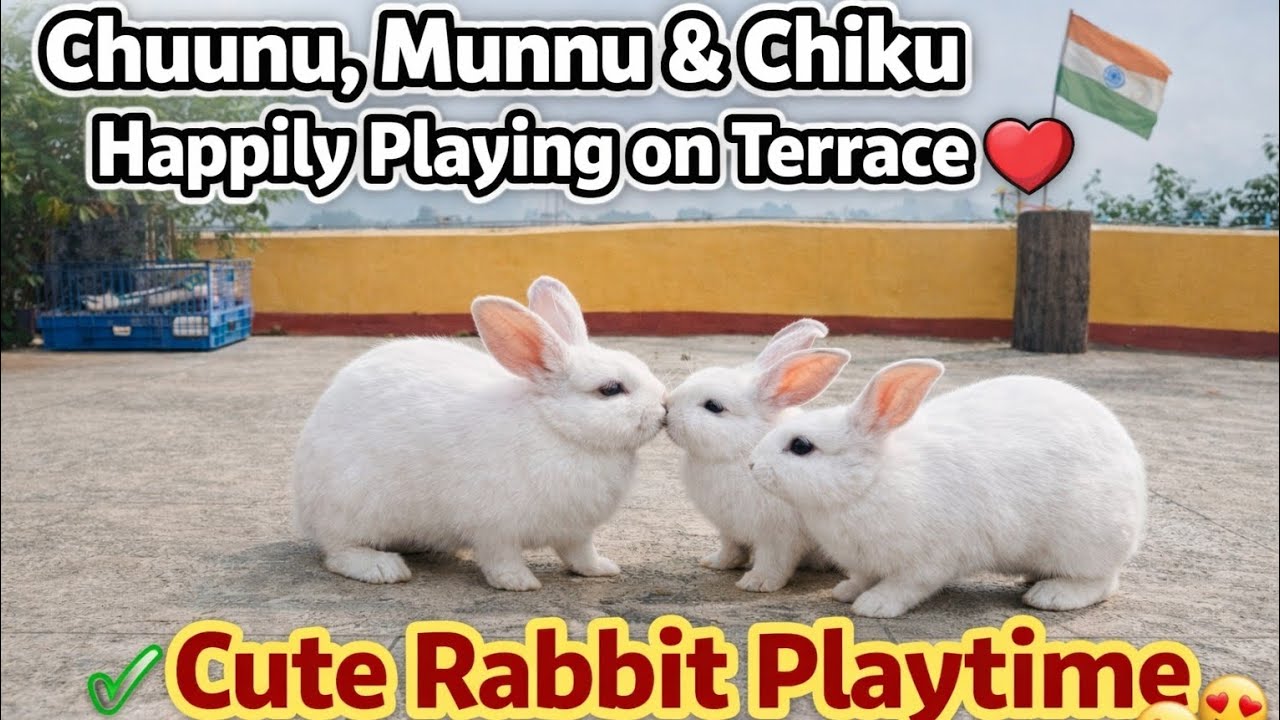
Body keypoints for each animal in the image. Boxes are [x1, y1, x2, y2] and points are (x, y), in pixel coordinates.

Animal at [292, 276, 668, 590]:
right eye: (611, 389)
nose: (664, 407)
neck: (559, 429)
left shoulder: (576, 531)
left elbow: (580, 554)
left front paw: (602, 569)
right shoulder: (495, 528)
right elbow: (500, 558)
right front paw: (519, 583)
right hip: (349, 508)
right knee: (337, 550)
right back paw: (382, 568)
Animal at [665, 319, 851, 592]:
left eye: (714, 406)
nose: (666, 408)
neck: (740, 452)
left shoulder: (779, 535)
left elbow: (773, 560)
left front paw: (756, 583)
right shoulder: (728, 528)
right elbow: (732, 548)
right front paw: (716, 563)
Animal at [749, 359, 1147, 618]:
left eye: (801, 446)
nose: (752, 465)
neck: (871, 482)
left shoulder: (930, 560)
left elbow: (907, 586)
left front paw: (875, 605)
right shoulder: (867, 562)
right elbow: (862, 577)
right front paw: (846, 592)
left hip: (1086, 543)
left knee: (1102, 582)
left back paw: (1051, 595)